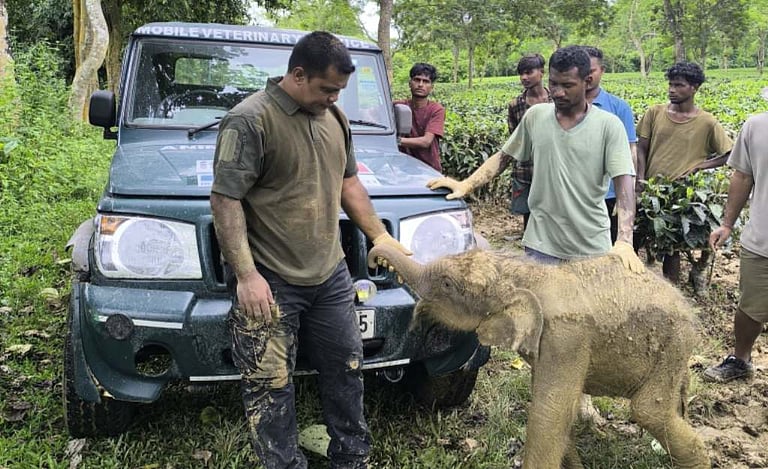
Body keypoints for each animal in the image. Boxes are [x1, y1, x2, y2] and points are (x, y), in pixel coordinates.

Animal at [367, 246, 710, 469]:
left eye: (448, 284)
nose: (373, 260)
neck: (525, 273)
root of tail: (690, 309)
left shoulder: (566, 338)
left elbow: (549, 412)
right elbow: (555, 409)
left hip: (675, 343)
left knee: (648, 410)